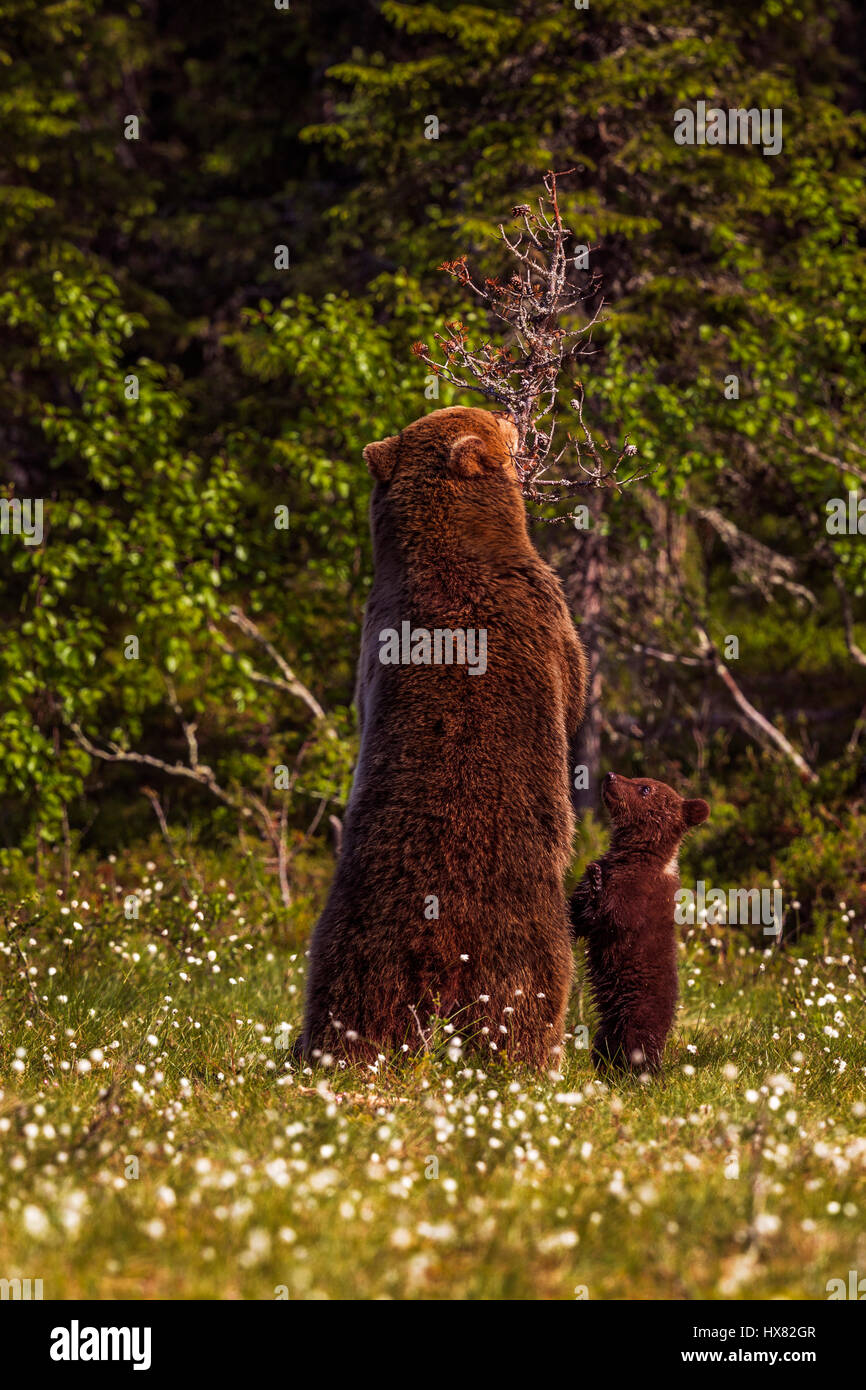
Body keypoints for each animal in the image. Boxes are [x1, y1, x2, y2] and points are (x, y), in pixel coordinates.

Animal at [300, 405, 587, 1069]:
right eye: (496, 420)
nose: (513, 417)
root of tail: (436, 937)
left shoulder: (375, 627)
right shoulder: (542, 605)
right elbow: (576, 681)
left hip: (356, 941)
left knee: (350, 996)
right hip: (522, 929)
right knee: (528, 996)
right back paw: (536, 1060)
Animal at [569, 771, 709, 1073]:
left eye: (645, 788)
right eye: (638, 778)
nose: (610, 775)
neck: (632, 856)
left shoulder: (639, 898)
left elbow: (610, 918)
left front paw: (596, 882)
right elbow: (578, 915)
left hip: (639, 1011)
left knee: (639, 1046)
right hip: (608, 1025)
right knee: (603, 1047)